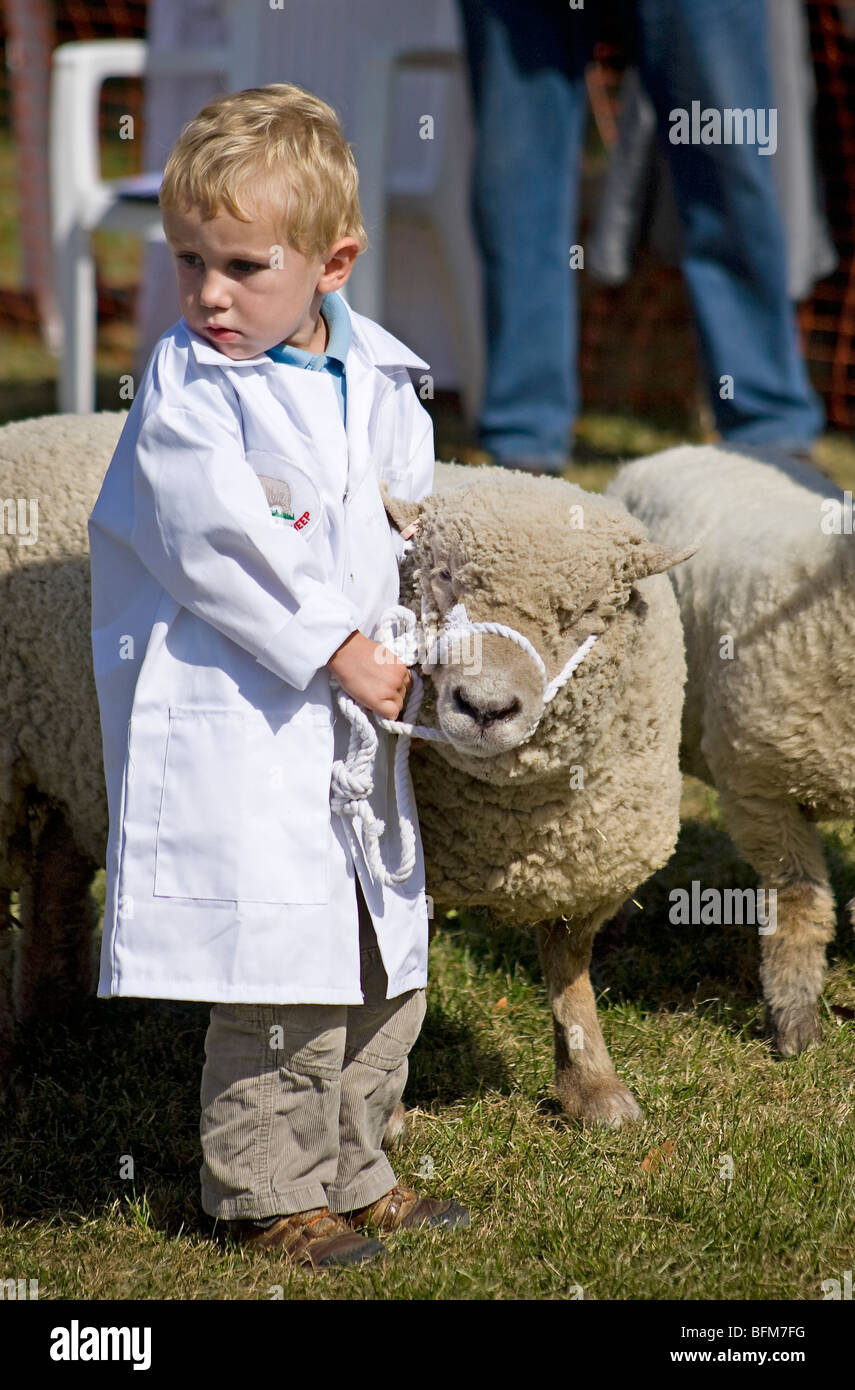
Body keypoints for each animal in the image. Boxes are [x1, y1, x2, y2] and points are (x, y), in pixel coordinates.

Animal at [1, 416, 693, 1129]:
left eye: (586, 611)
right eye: (442, 578)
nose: (483, 708)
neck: (507, 826)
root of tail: (28, 428)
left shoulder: (587, 865)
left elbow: (569, 970)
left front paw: (595, 1088)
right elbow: (390, 985)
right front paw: (385, 1109)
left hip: (62, 765)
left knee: (53, 876)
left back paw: (50, 1022)